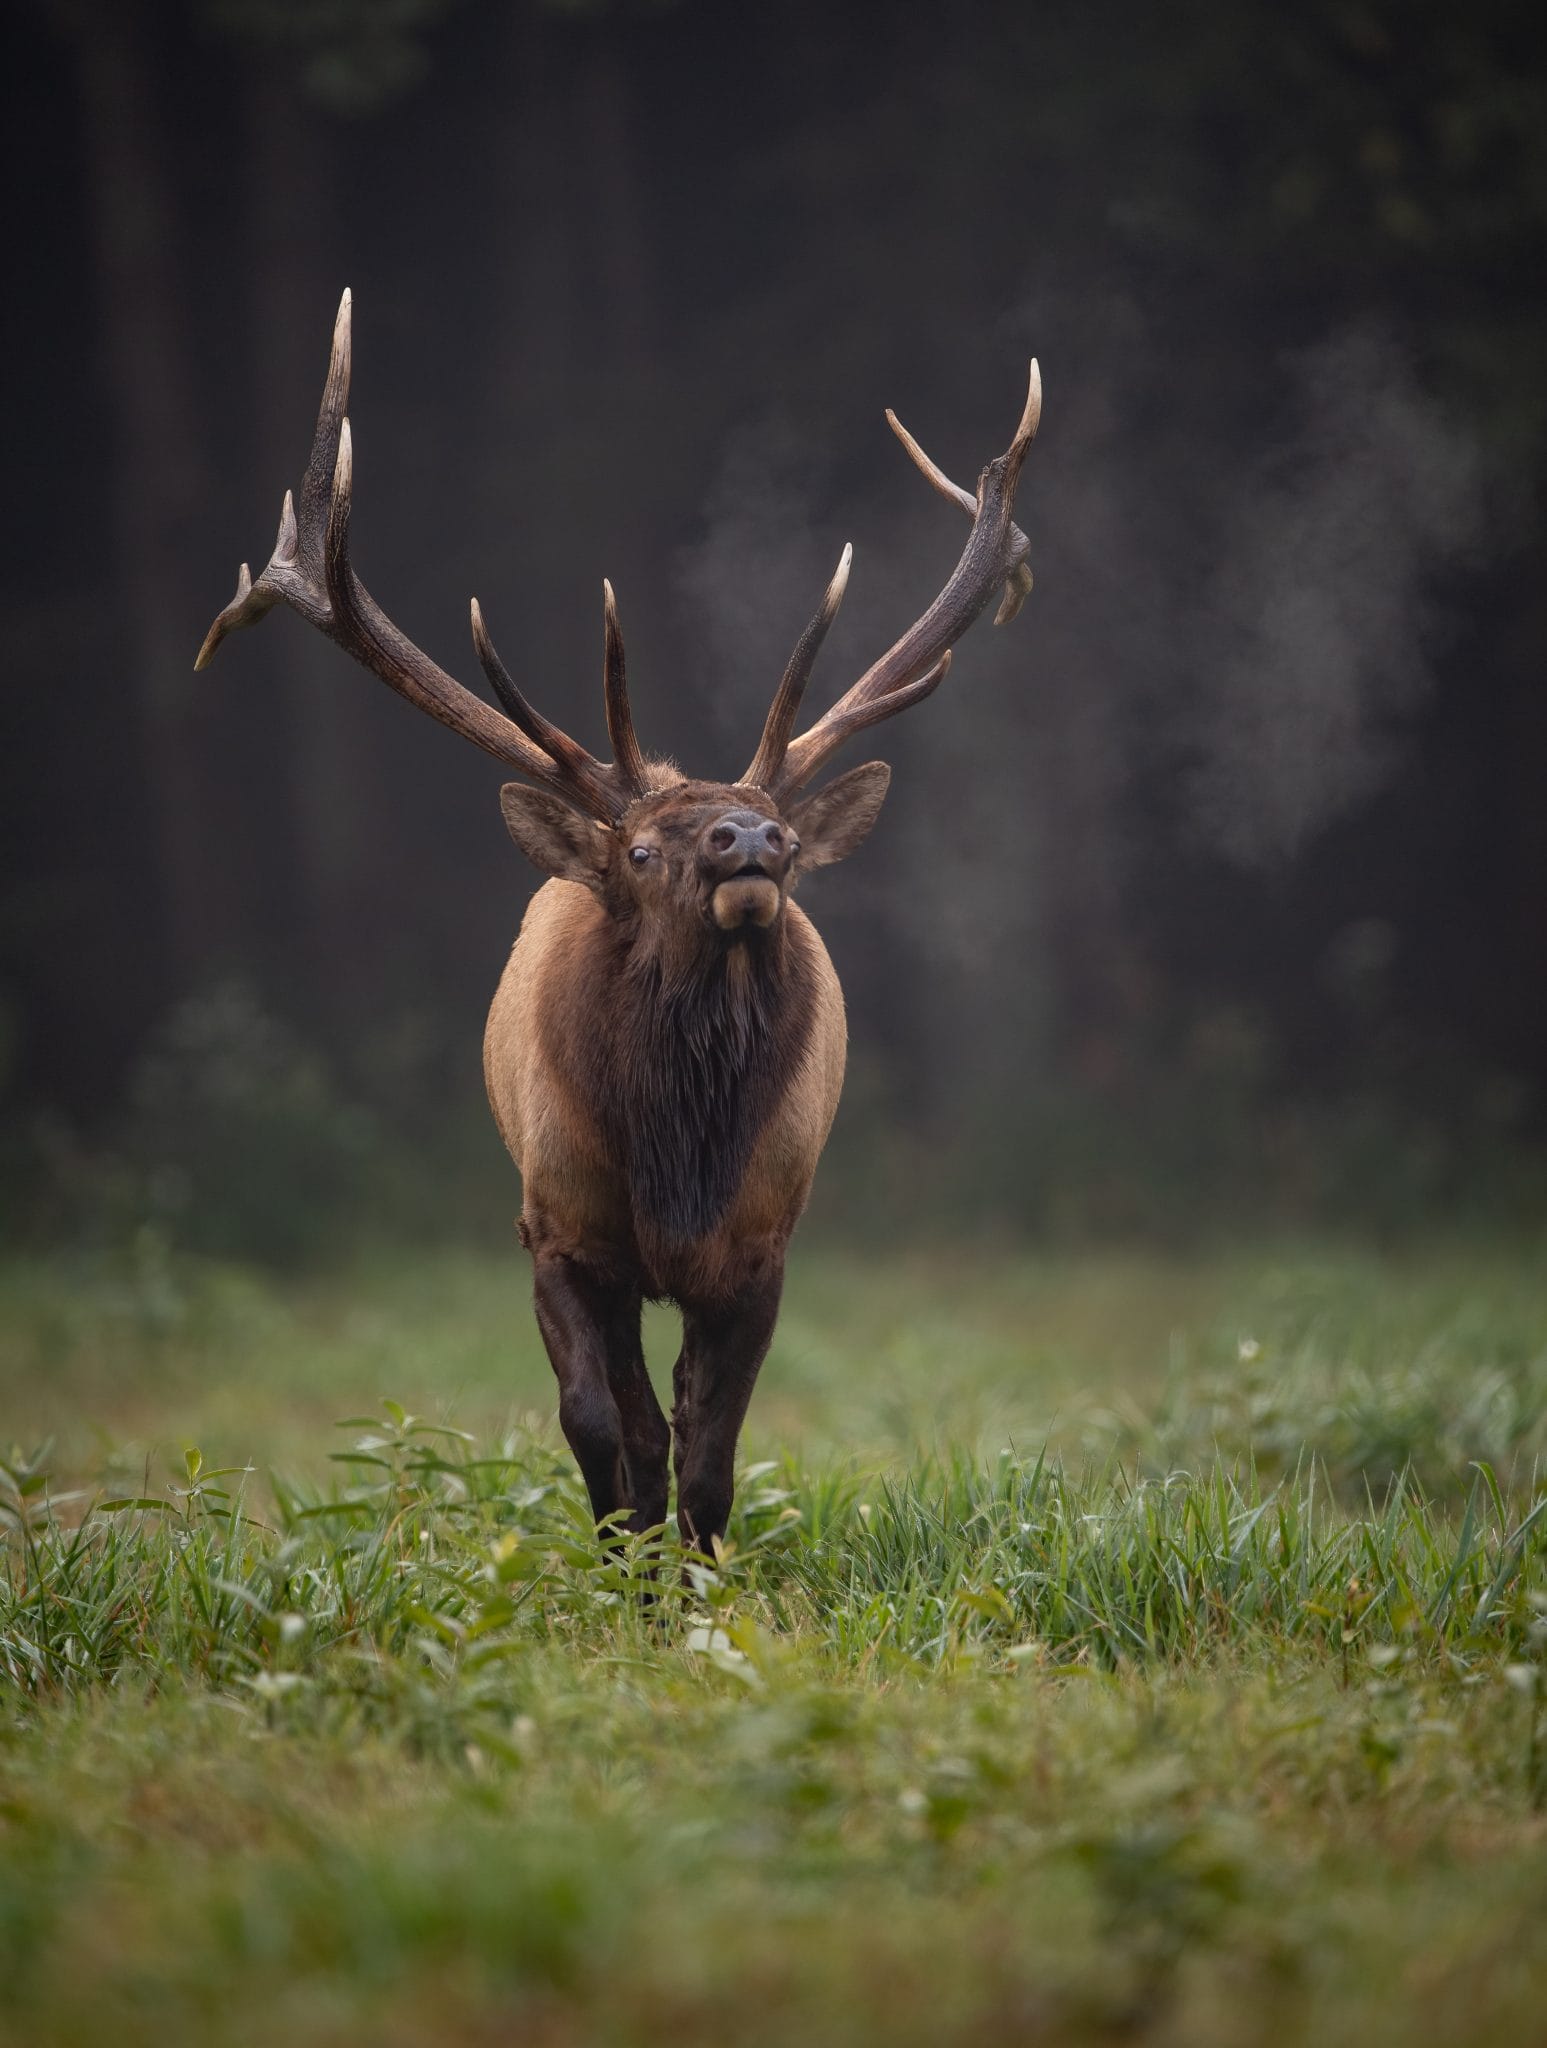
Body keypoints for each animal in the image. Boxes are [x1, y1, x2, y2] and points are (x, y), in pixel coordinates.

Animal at [196, 291, 1038, 1557]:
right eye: (639, 851)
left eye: (783, 837)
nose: (750, 840)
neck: (673, 1163)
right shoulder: (555, 1221)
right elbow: (602, 1423)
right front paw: (618, 1568)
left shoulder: (759, 1240)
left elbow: (711, 1447)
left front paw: (691, 1579)